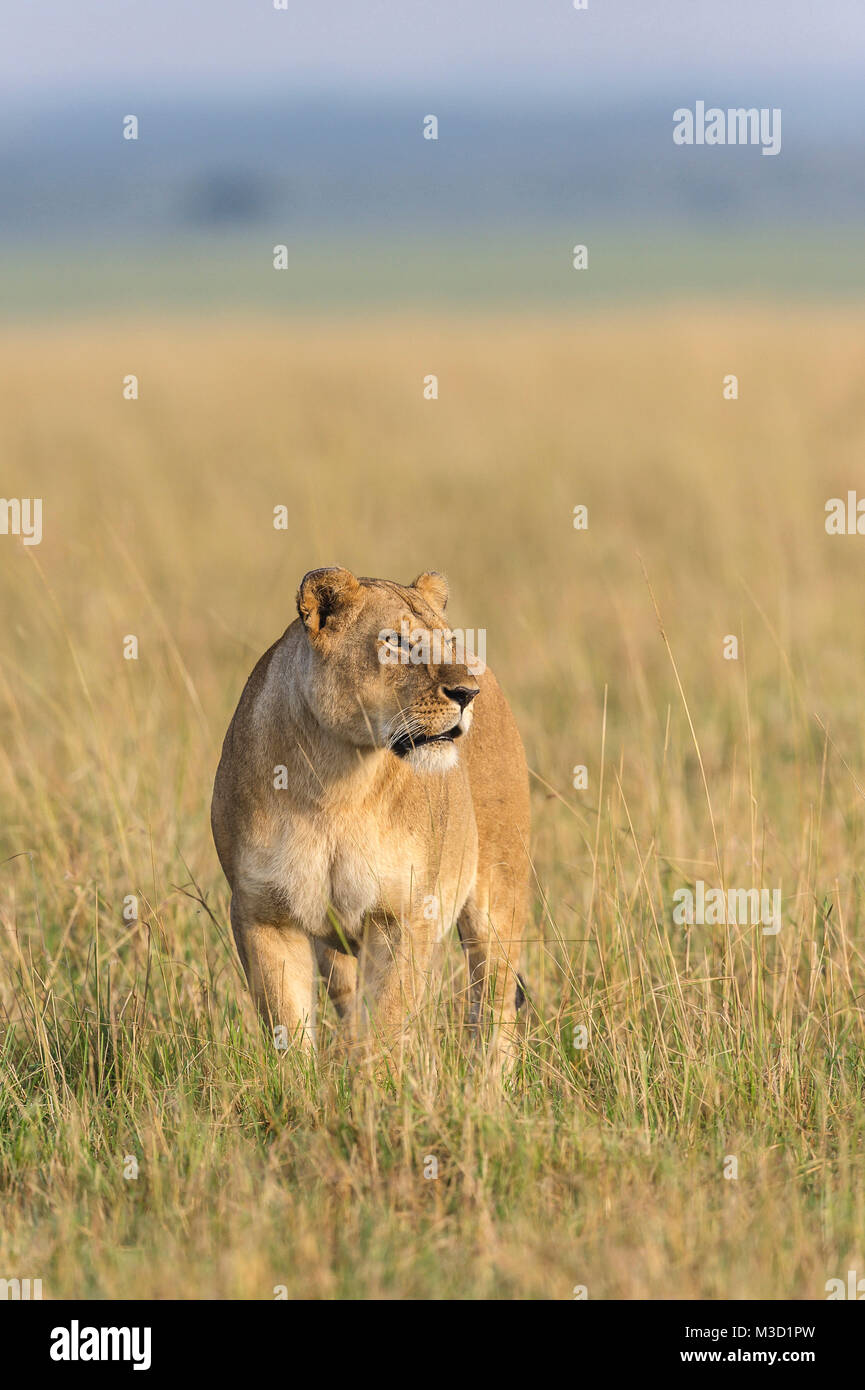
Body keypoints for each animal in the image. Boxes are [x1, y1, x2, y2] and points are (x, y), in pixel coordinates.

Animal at [211, 567, 530, 1066]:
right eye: (396, 642)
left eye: (449, 642)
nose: (466, 692)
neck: (335, 784)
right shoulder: (263, 914)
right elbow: (289, 1030)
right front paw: (301, 1085)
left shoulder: (404, 916)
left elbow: (384, 1029)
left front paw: (376, 1085)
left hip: (498, 897)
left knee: (495, 1007)